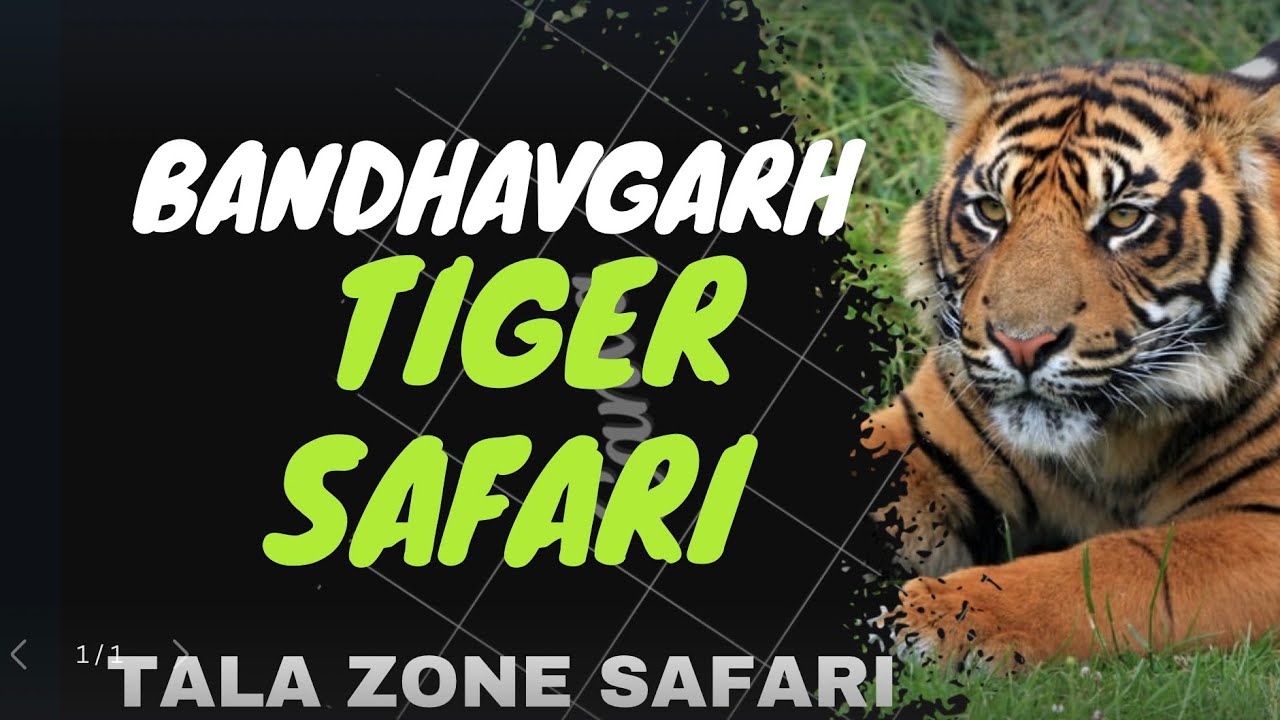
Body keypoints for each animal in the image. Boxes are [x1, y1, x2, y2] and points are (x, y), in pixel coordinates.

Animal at [860, 33, 1280, 667]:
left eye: (1124, 218)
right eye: (991, 211)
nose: (1022, 344)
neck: (1112, 443)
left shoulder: (1259, 526)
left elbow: (1111, 567)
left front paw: (929, 616)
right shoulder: (925, 438)